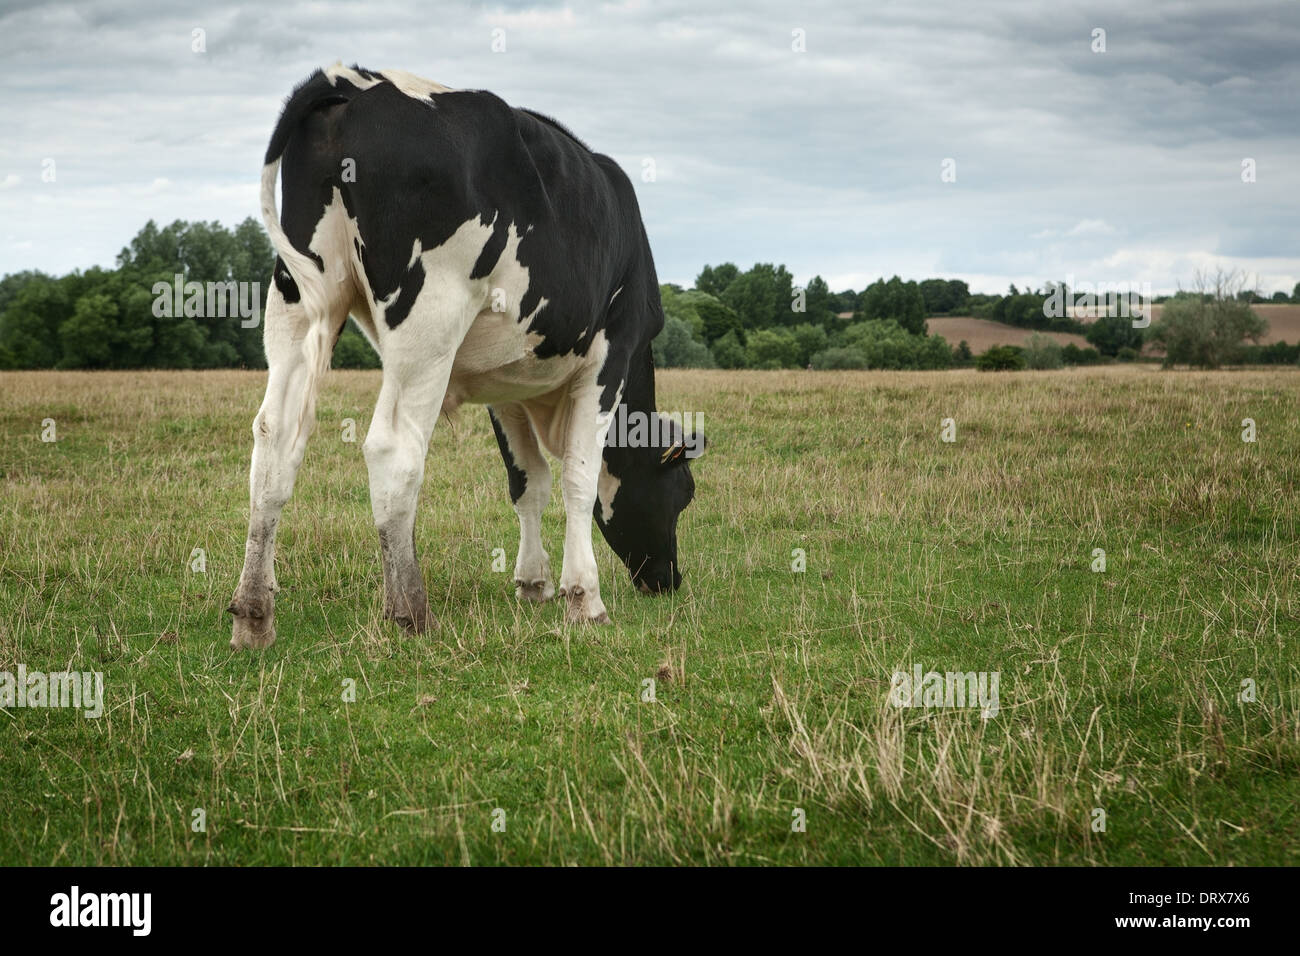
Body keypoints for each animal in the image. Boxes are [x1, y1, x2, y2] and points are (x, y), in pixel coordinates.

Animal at [228, 65, 705, 650]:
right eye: (682, 493)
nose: (668, 581)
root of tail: (355, 82)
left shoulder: (507, 383)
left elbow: (529, 482)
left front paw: (533, 583)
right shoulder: (612, 351)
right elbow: (579, 476)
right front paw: (584, 599)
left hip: (299, 298)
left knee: (275, 438)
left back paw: (254, 612)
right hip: (429, 321)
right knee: (392, 451)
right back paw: (410, 610)